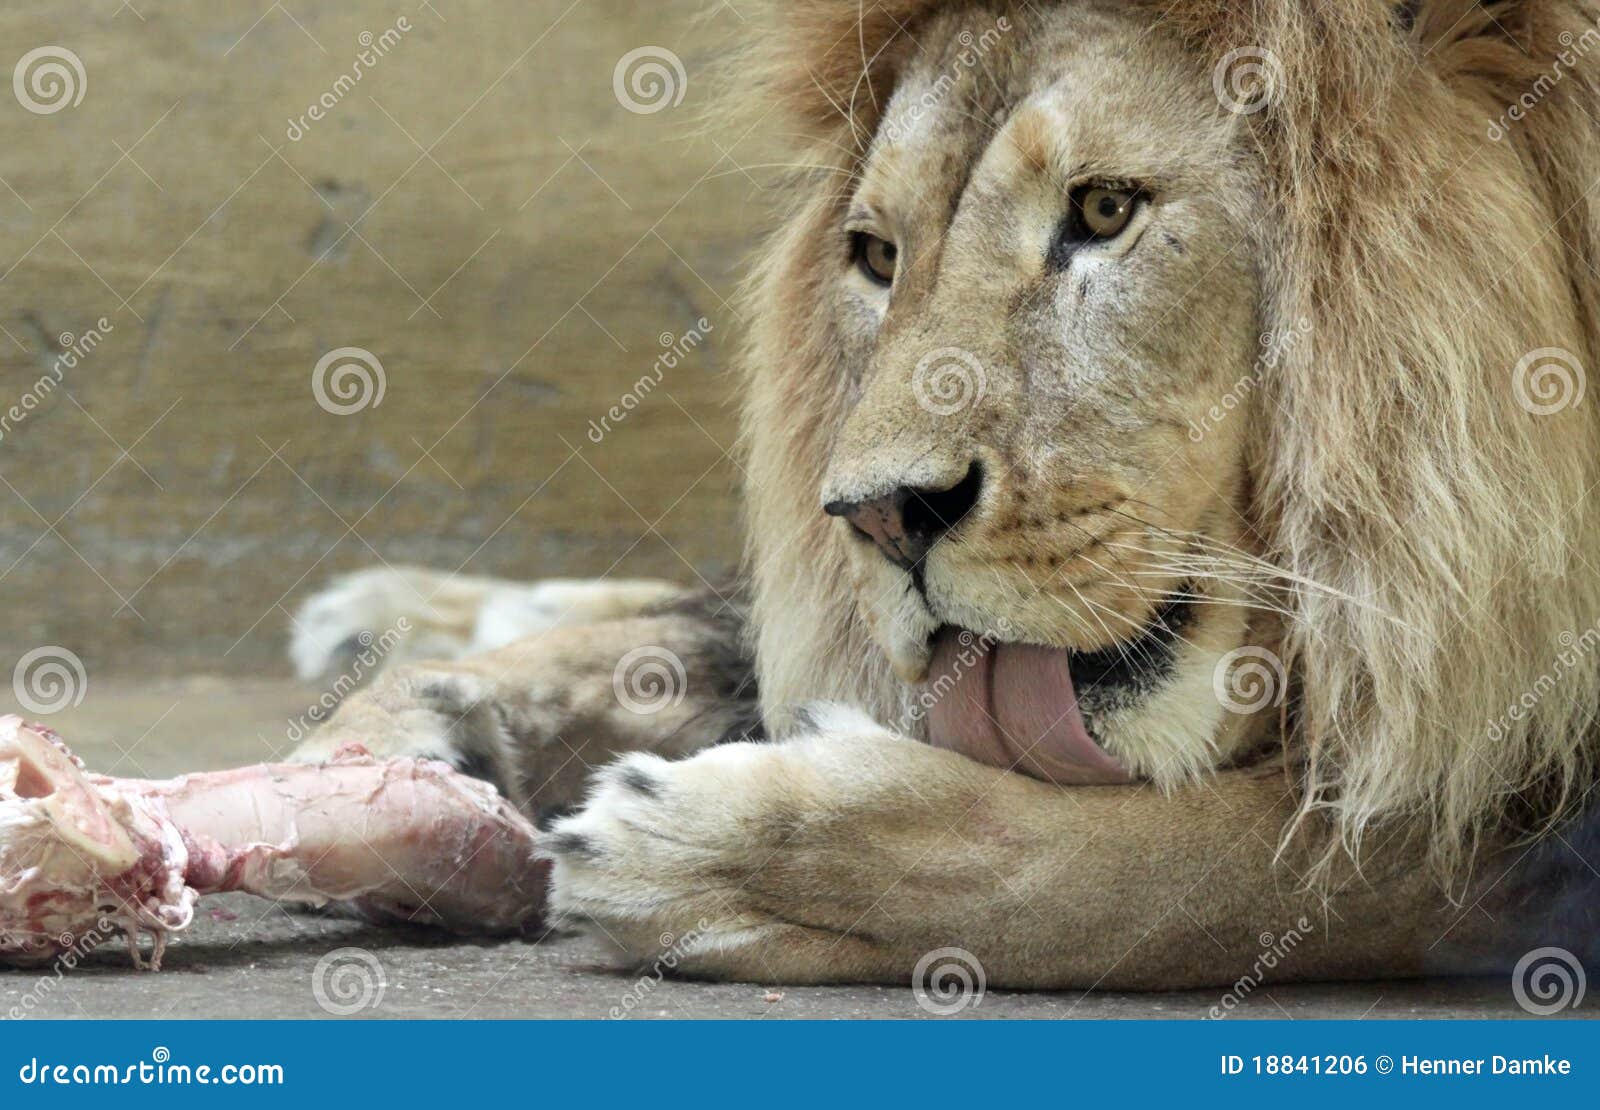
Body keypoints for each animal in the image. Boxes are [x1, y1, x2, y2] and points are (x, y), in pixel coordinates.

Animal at [289, 0, 1600, 990]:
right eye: (877, 256)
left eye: (1105, 211)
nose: (876, 517)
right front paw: (397, 737)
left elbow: (1196, 865)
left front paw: (713, 854)